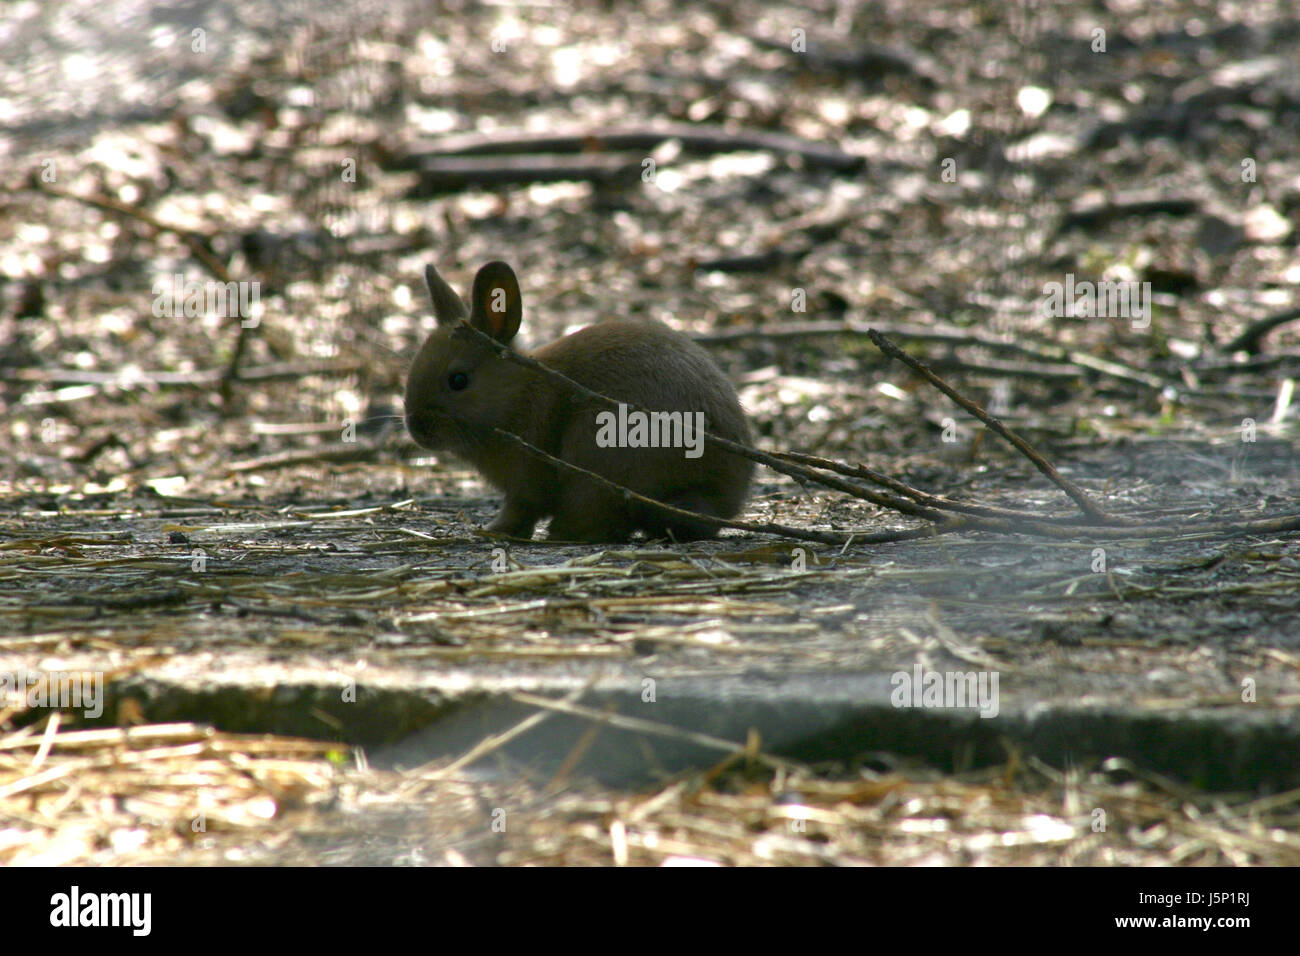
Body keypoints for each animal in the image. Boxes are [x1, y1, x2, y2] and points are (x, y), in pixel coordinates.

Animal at [404, 260, 754, 542]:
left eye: (458, 381)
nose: (417, 429)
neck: (516, 394)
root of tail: (713, 495)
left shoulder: (524, 485)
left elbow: (519, 511)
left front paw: (493, 531)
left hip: (595, 458)